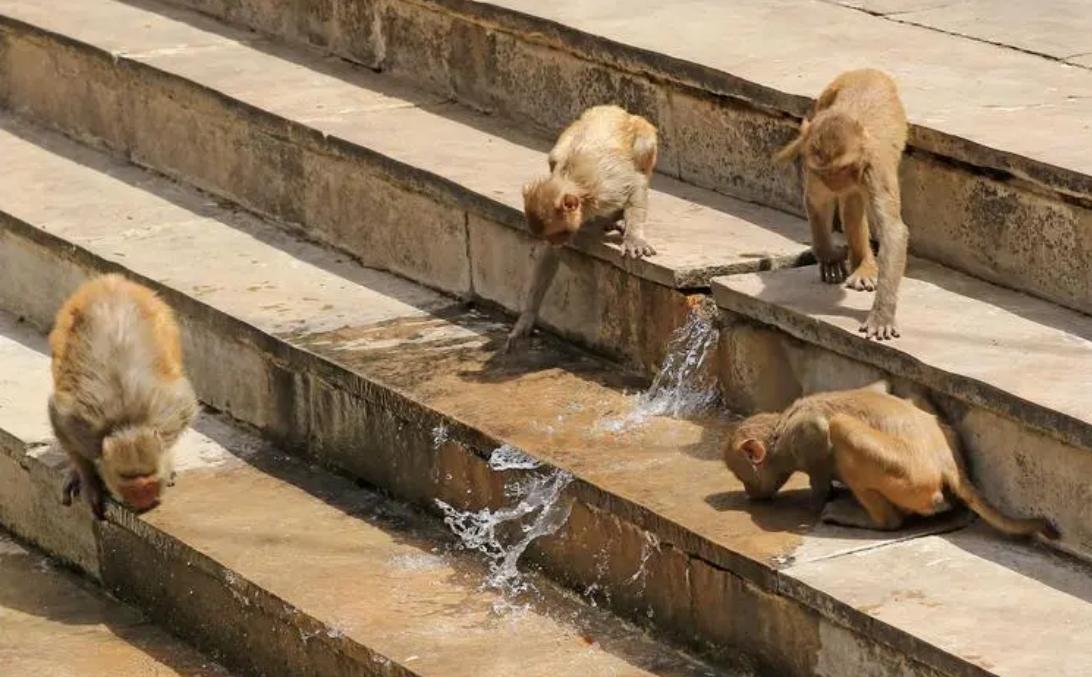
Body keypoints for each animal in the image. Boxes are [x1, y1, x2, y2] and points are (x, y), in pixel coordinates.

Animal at [48, 274, 198, 519]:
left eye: (149, 485)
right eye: (132, 489)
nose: (144, 503)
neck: (127, 422)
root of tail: (109, 282)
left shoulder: (173, 412)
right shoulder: (78, 426)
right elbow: (61, 427)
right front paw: (88, 481)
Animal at [506, 105, 659, 351]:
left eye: (559, 233)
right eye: (552, 237)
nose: (556, 241)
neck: (575, 185)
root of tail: (614, 109)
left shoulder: (606, 190)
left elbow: (635, 185)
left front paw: (634, 238)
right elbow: (549, 257)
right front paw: (526, 319)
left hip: (642, 131)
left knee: (642, 153)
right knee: (554, 156)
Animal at [724, 383, 1058, 539]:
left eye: (743, 477)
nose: (750, 494)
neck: (780, 430)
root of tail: (948, 463)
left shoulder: (799, 438)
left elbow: (818, 432)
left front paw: (817, 500)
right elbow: (881, 386)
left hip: (911, 479)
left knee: (840, 429)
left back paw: (878, 520)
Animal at [775, 69, 909, 341]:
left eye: (842, 170)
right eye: (827, 173)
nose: (835, 183)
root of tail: (867, 70)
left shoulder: (874, 168)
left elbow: (893, 231)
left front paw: (881, 315)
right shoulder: (812, 164)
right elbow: (817, 202)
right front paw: (829, 259)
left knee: (854, 204)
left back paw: (864, 266)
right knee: (851, 206)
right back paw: (861, 264)